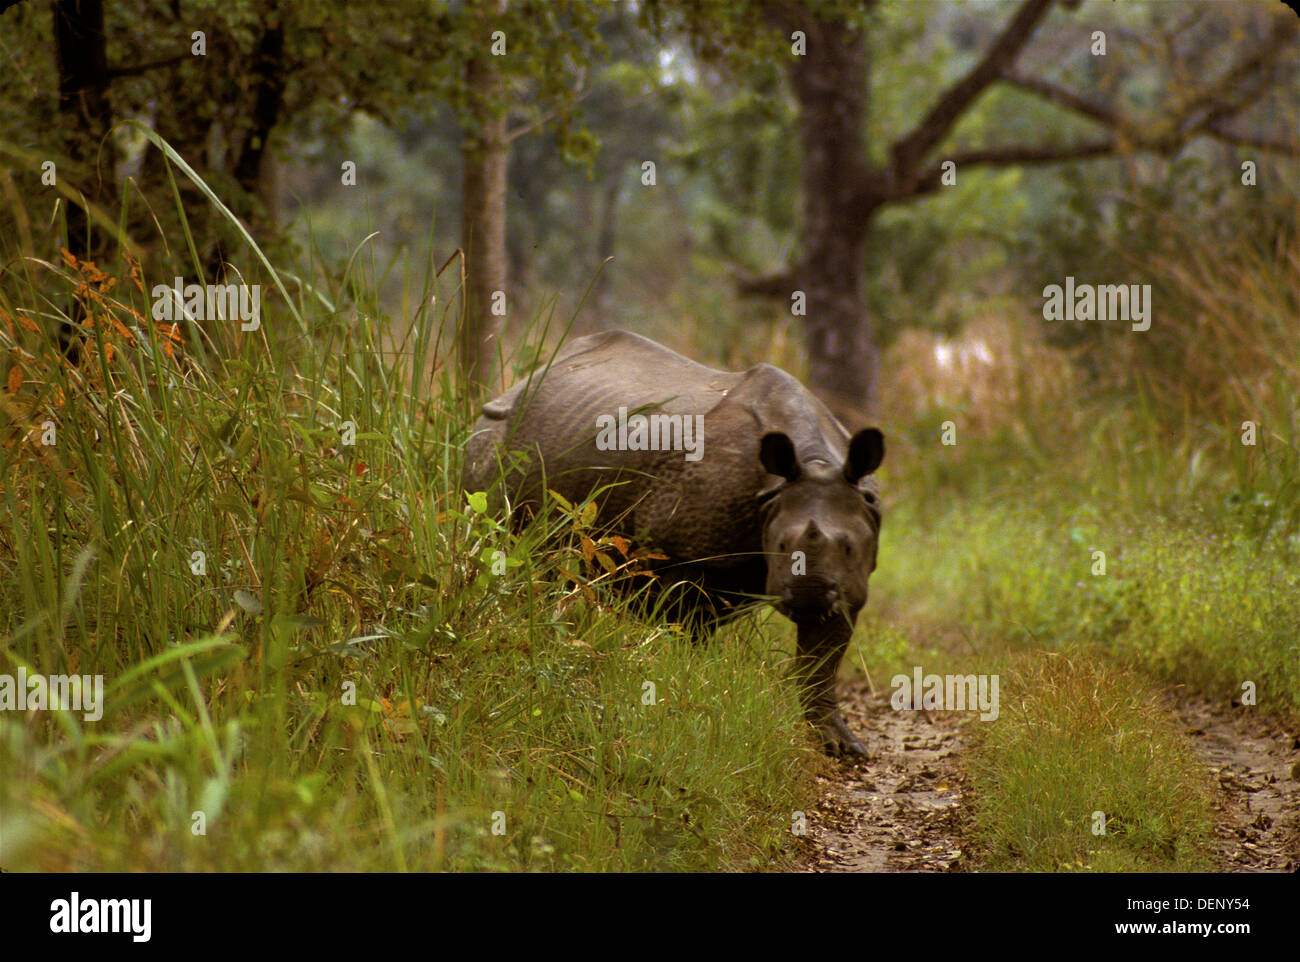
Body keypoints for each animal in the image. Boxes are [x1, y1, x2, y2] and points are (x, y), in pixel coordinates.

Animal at [463, 330, 884, 757]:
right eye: (780, 546)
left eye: (849, 547)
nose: (807, 593)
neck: (812, 464)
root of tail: (513, 387)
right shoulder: (685, 559)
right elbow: (687, 634)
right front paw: (687, 706)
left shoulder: (849, 582)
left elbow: (822, 662)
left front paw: (838, 744)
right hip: (495, 434)